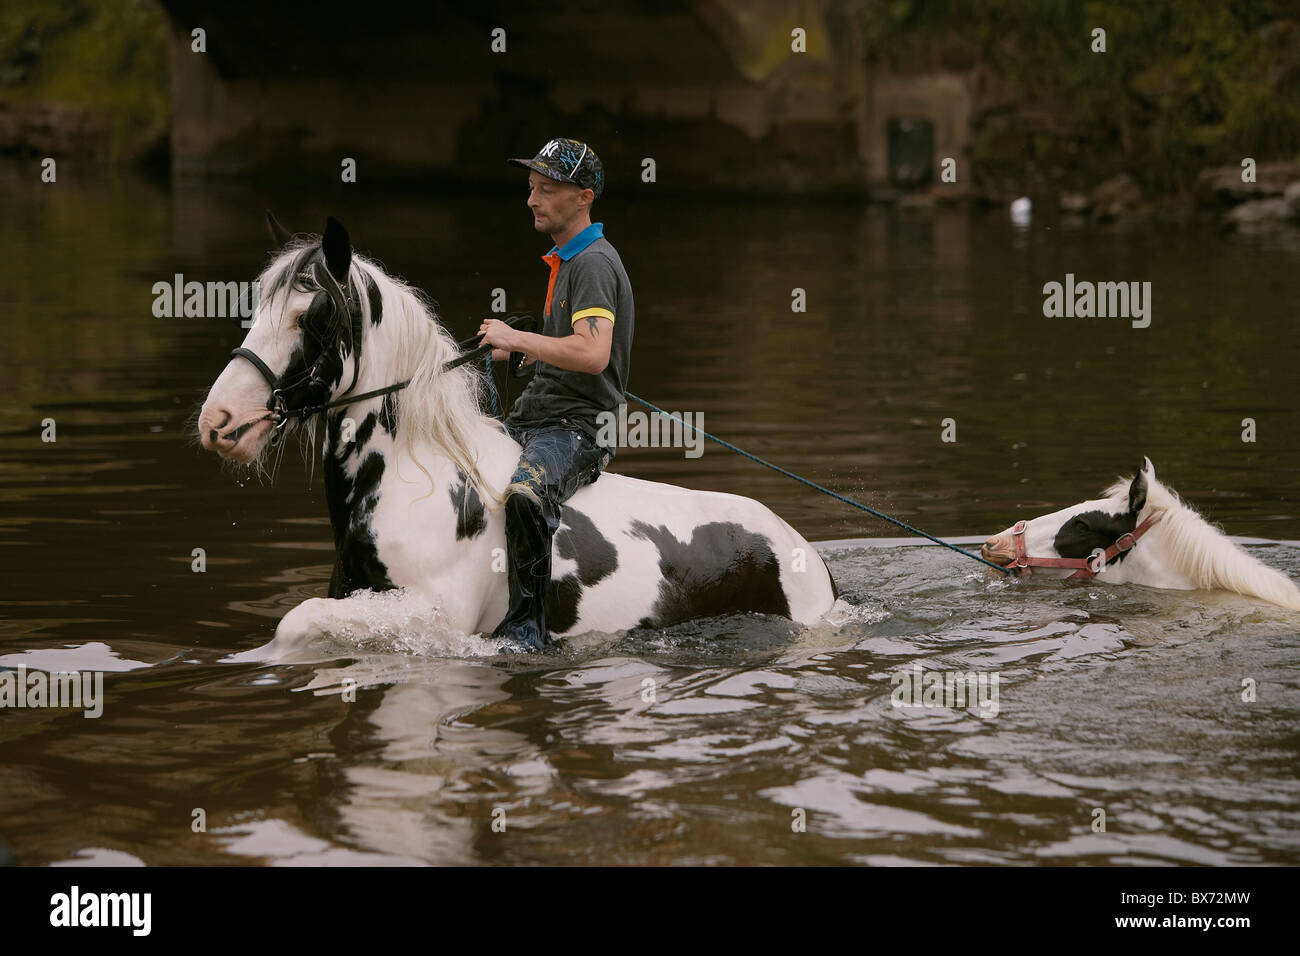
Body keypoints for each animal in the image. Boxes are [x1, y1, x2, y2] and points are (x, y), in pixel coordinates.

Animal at [197, 215, 839, 654]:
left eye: (313, 317)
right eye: (257, 307)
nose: (218, 422)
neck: (414, 477)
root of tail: (802, 549)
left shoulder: (436, 619)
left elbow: (295, 622)